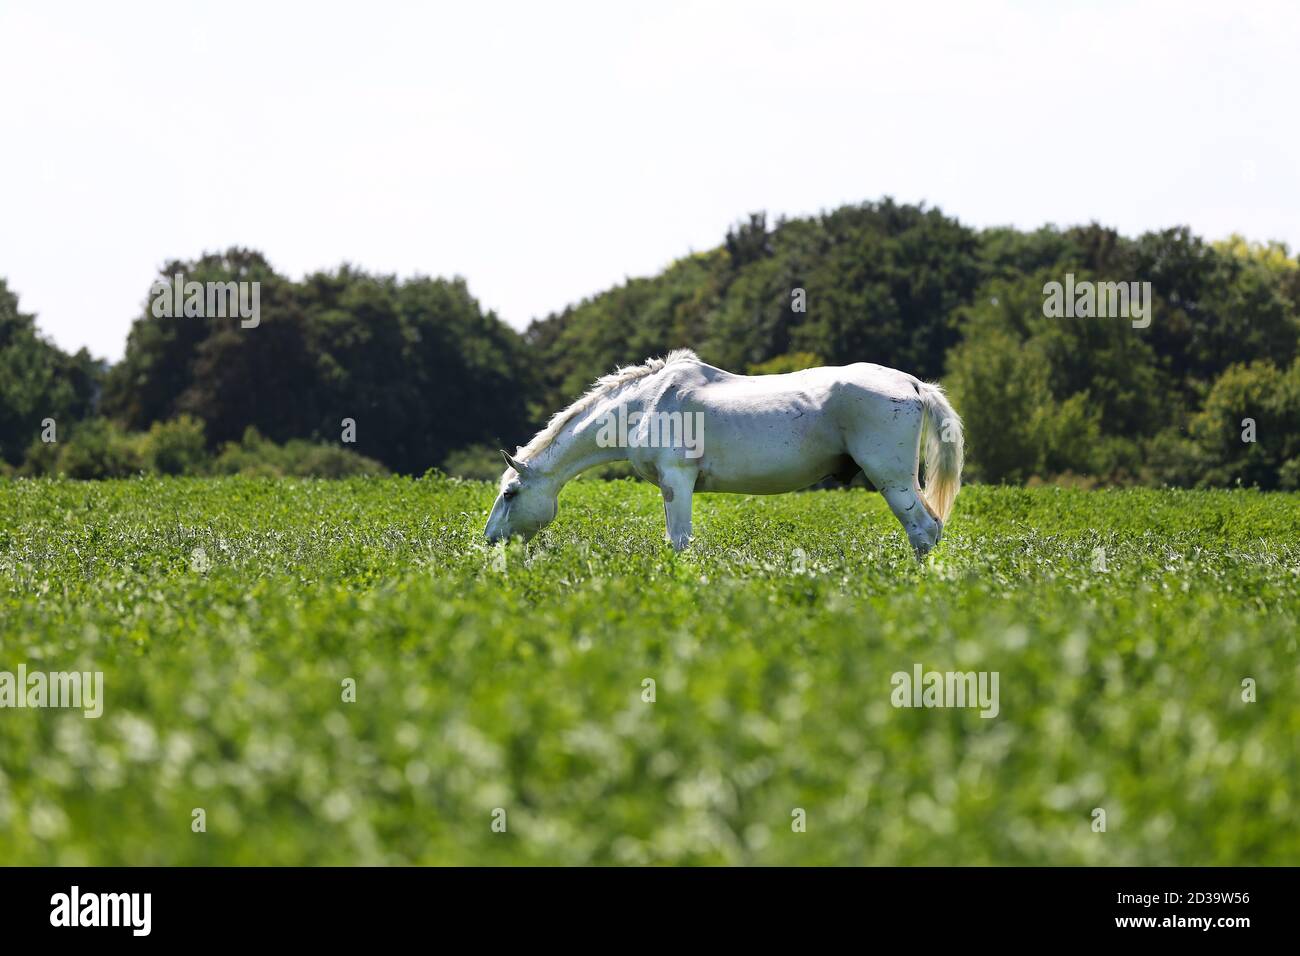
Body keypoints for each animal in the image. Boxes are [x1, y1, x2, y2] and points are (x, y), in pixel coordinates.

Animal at [484, 350, 964, 560]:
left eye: (509, 494)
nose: (489, 541)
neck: (645, 403)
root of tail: (912, 383)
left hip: (892, 480)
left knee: (923, 530)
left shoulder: (676, 482)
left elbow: (679, 542)